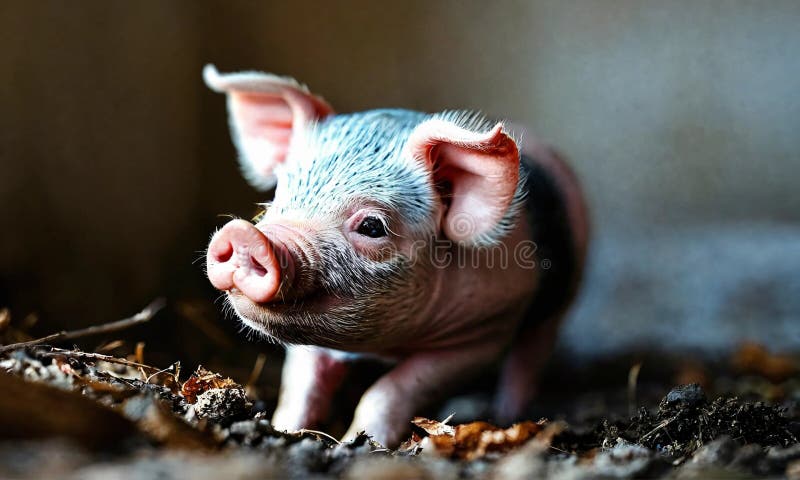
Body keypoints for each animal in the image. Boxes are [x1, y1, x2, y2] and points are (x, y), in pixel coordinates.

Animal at [203, 65, 589, 447]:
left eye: (373, 226)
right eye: (277, 199)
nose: (245, 236)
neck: (387, 345)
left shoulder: (483, 332)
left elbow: (392, 390)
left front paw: (360, 442)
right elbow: (302, 384)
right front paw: (284, 429)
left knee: (531, 355)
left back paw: (509, 413)